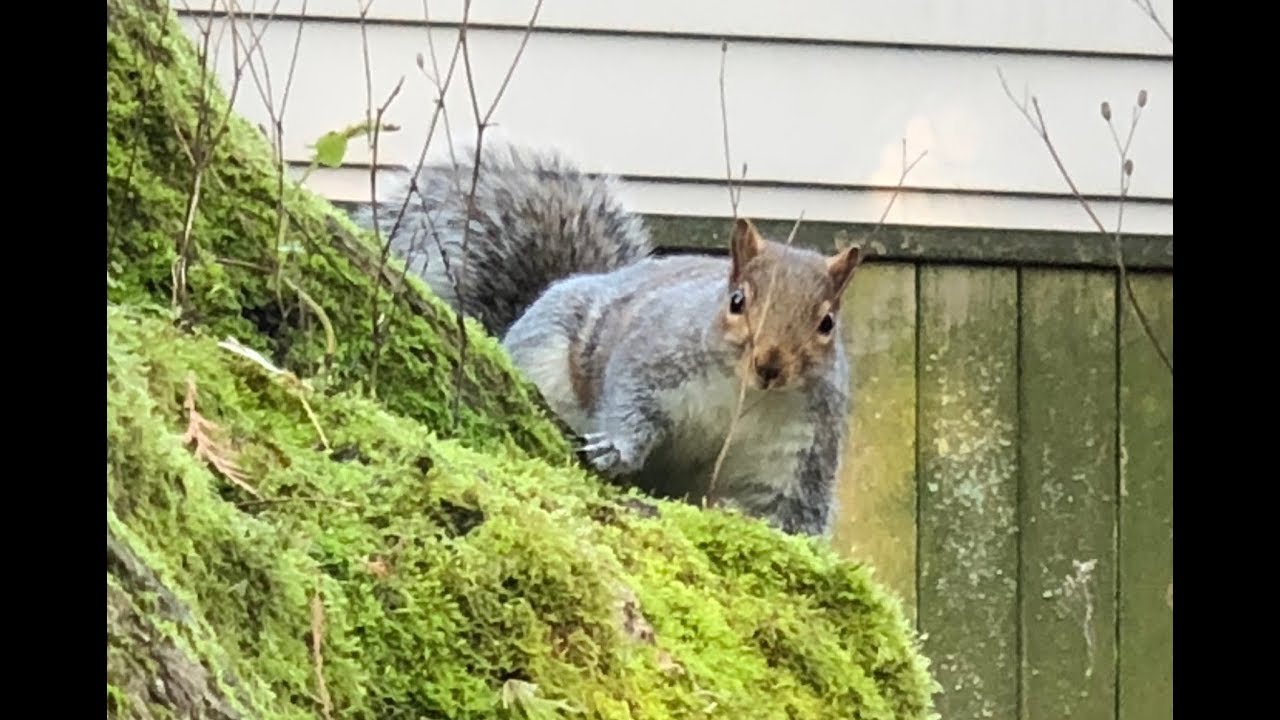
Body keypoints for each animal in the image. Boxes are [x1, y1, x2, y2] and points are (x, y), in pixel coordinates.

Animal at [358, 141, 862, 537]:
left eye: (827, 323)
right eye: (736, 301)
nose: (770, 365)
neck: (743, 396)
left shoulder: (801, 449)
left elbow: (793, 512)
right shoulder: (655, 354)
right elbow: (629, 399)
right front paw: (616, 449)